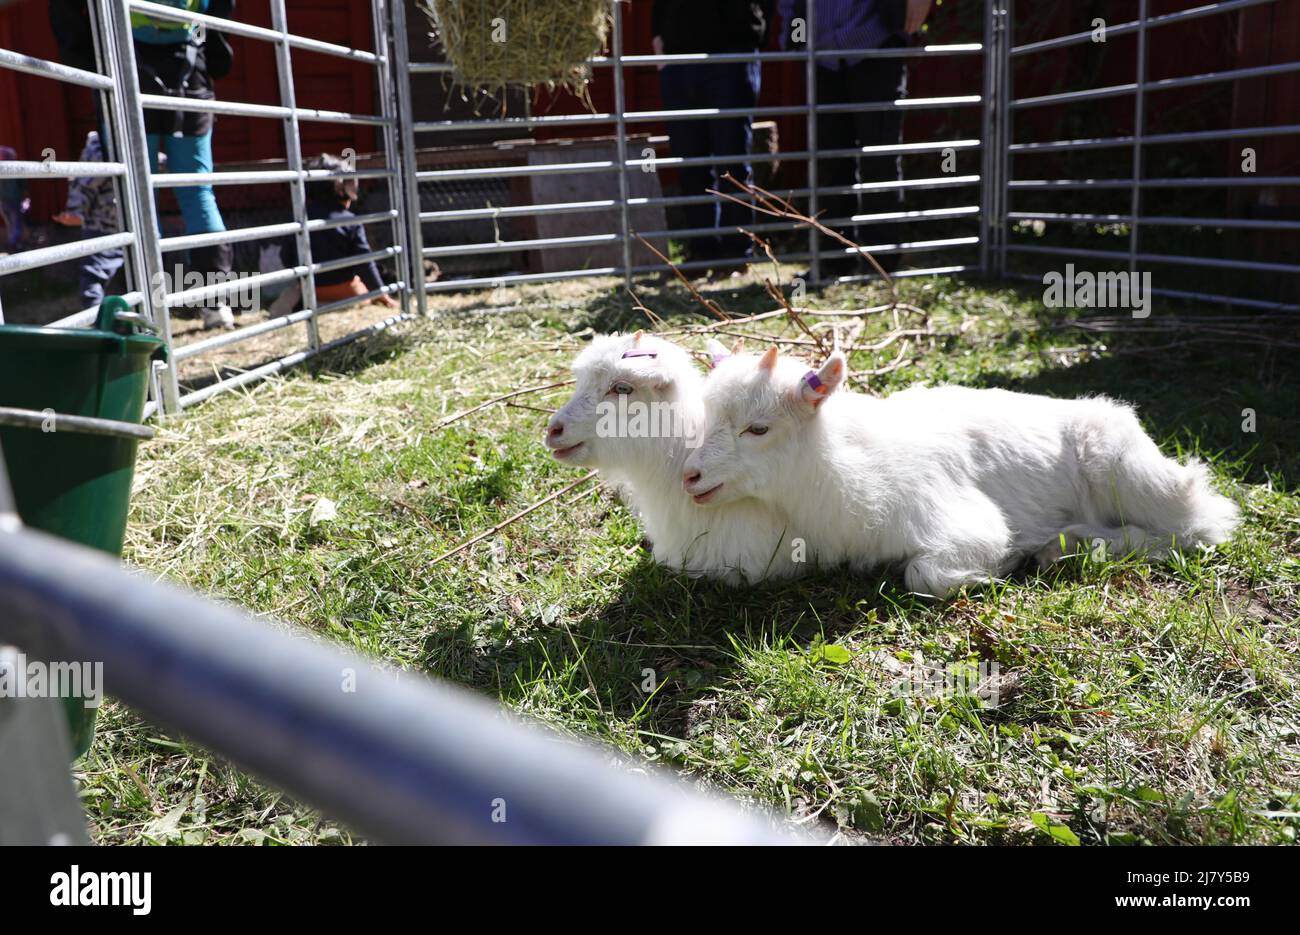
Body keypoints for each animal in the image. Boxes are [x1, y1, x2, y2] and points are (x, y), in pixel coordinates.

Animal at [682, 345, 1239, 597]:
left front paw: (999, 567)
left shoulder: (959, 519)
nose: (689, 477)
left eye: (758, 428)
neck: (842, 463)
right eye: (704, 416)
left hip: (1130, 470)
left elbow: (925, 572)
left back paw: (1068, 546)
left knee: (1200, 523)